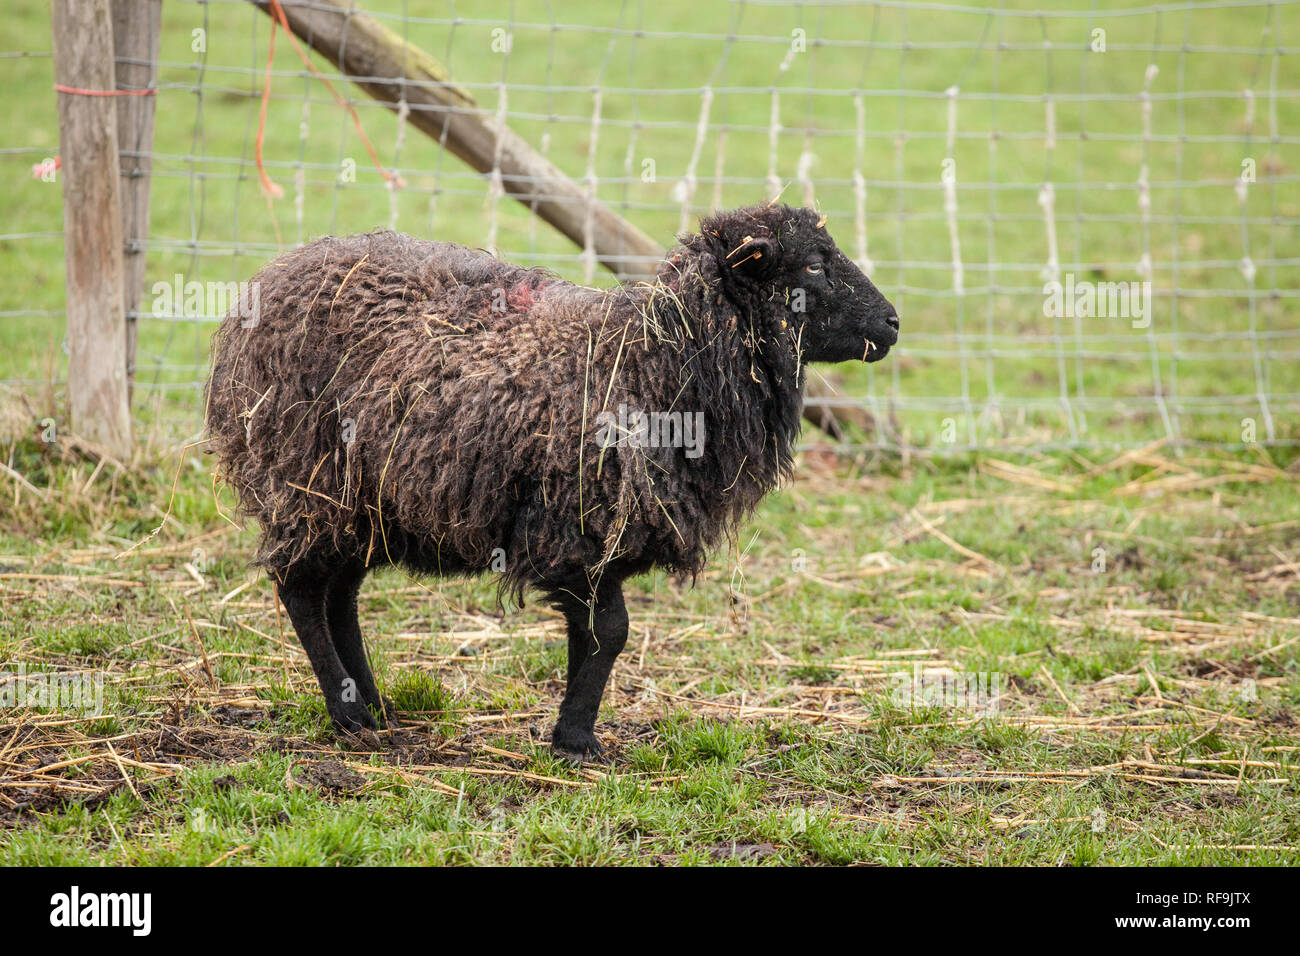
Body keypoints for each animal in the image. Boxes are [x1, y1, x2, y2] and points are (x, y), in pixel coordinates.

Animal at [205, 203, 899, 759]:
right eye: (813, 266)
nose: (893, 323)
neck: (654, 360)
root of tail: (267, 282)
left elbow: (600, 635)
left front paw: (574, 733)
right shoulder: (577, 530)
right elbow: (609, 633)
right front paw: (576, 739)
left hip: (362, 501)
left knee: (339, 595)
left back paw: (374, 707)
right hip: (307, 480)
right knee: (301, 590)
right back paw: (348, 713)